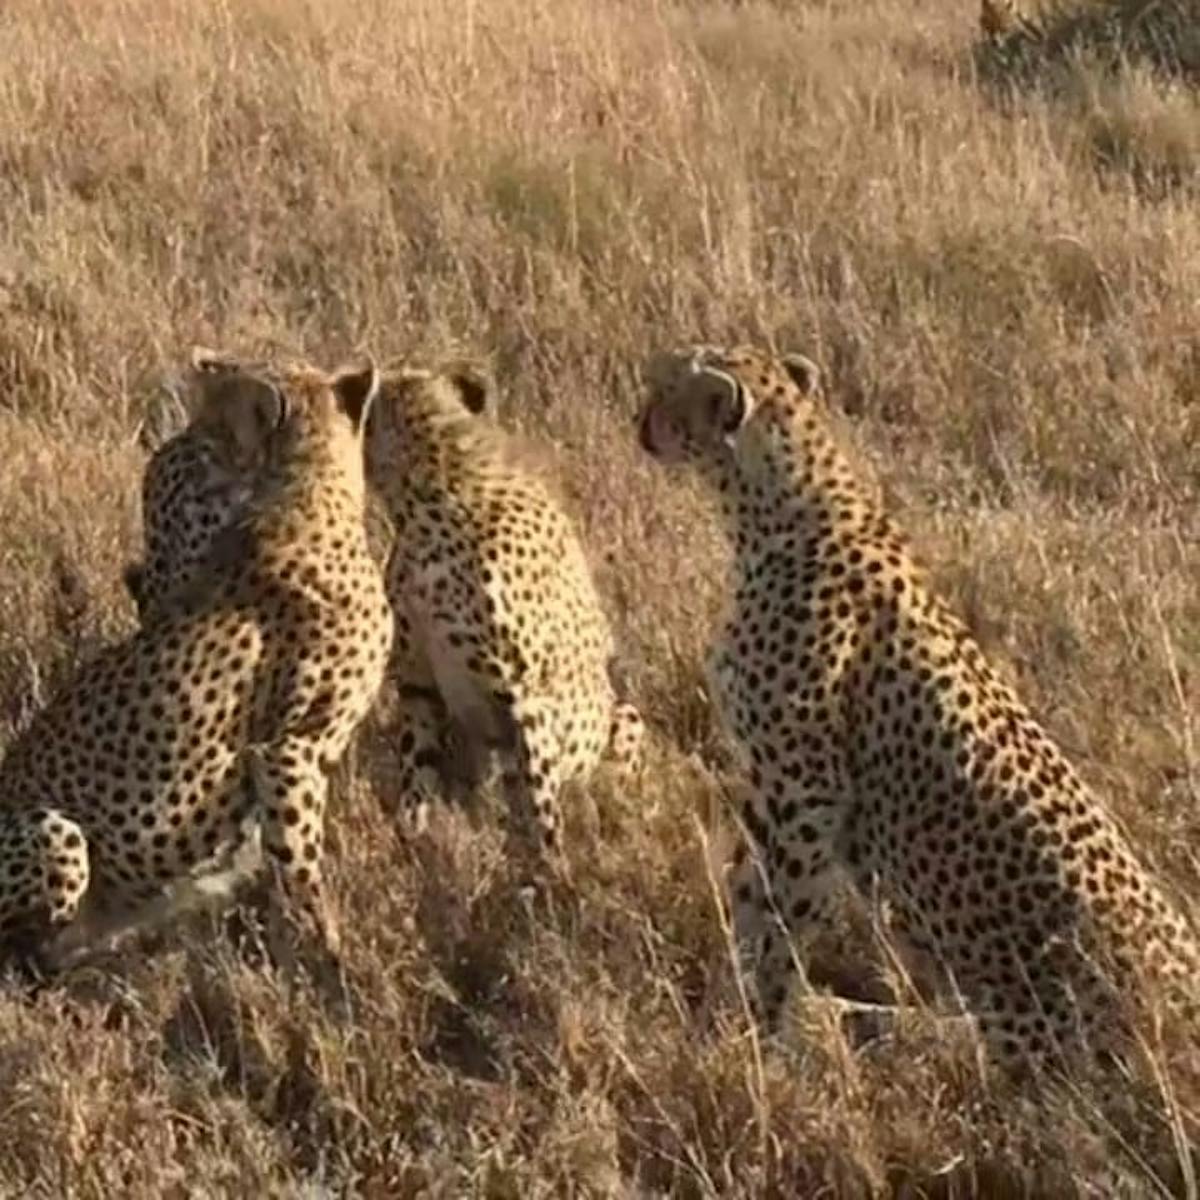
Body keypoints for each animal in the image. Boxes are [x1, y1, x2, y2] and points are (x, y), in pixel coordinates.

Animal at [0, 349, 394, 979]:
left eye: (211, 427)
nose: (174, 447)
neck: (308, 486)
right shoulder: (287, 749)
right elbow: (300, 872)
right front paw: (331, 966)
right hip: (55, 830)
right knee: (27, 951)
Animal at [636, 342, 1199, 1071]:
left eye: (665, 388)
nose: (640, 422)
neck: (789, 506)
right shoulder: (779, 793)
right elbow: (752, 902)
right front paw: (742, 1018)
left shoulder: (805, 797)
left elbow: (775, 917)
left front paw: (755, 1033)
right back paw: (853, 1017)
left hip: (1032, 1031)